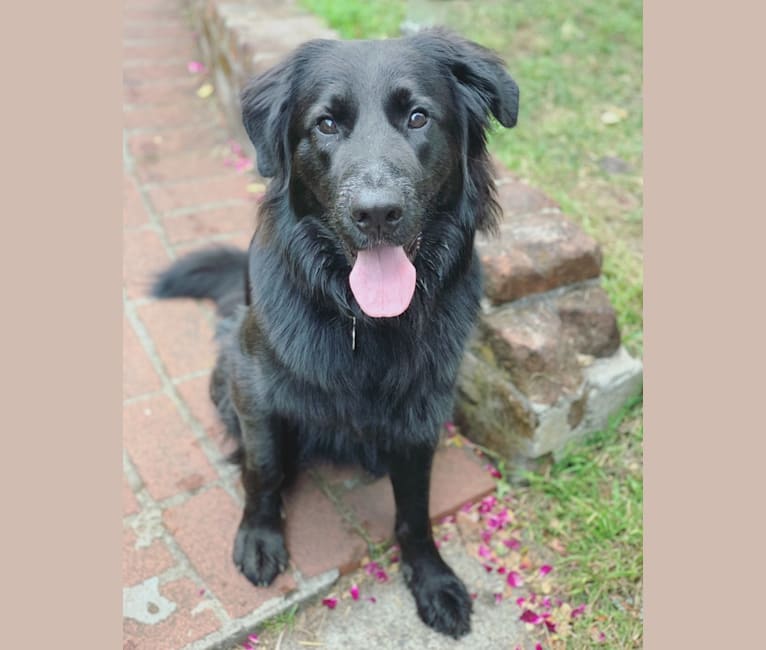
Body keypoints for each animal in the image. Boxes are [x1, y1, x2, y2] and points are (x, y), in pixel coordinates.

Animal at [153, 27, 520, 636]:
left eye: (418, 117)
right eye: (326, 124)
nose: (377, 213)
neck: (364, 322)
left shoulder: (421, 413)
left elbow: (415, 510)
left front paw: (432, 578)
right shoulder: (255, 386)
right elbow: (262, 468)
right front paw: (260, 534)